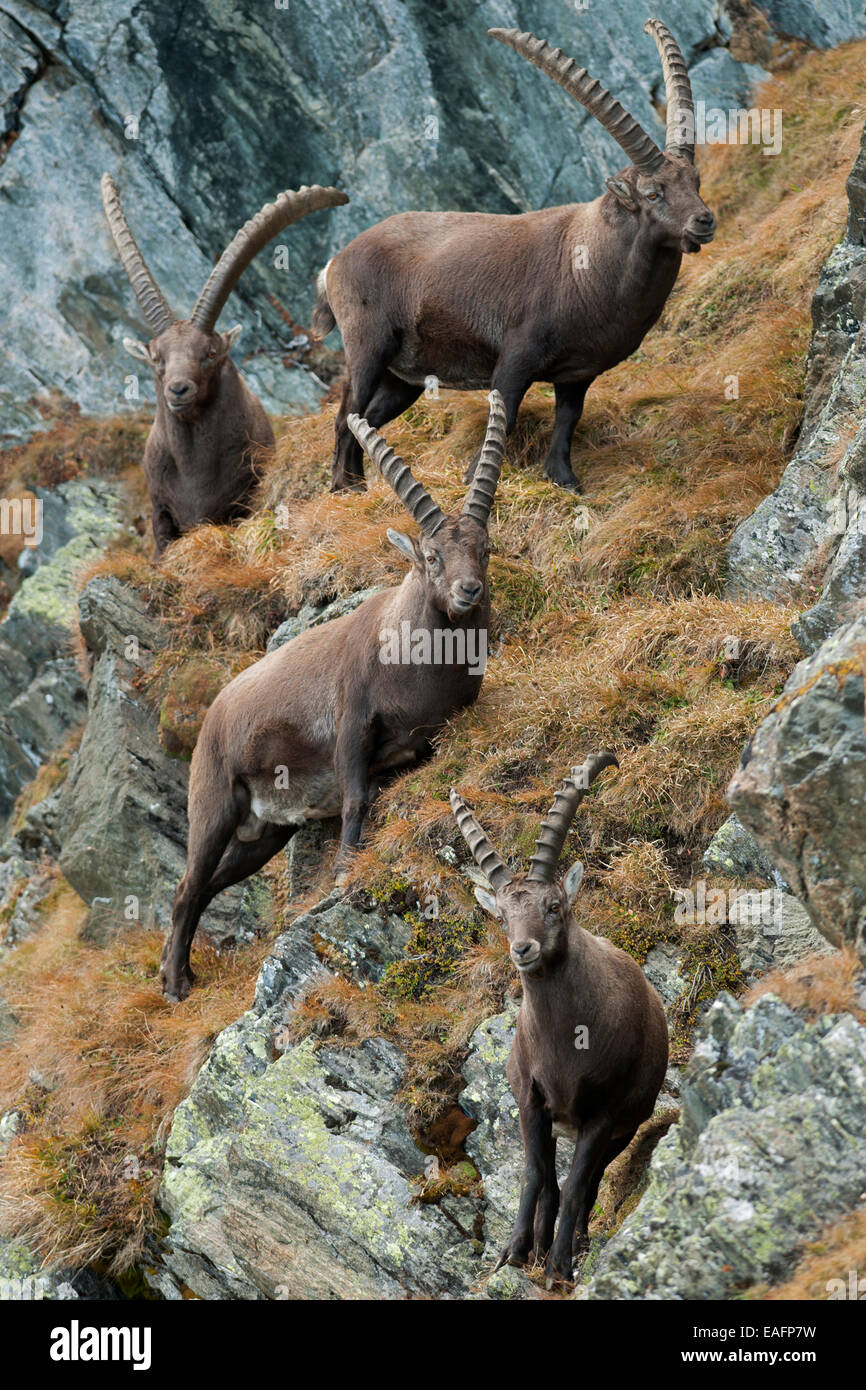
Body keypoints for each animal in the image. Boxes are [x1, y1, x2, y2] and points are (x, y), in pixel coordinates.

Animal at [101, 175, 347, 556]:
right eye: (156, 357)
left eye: (211, 352)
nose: (178, 389)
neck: (193, 474)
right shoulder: (160, 514)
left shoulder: (242, 502)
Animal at [160, 392, 506, 1001]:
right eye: (432, 557)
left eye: (483, 549)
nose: (470, 591)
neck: (415, 658)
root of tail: (213, 712)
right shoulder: (352, 724)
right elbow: (355, 799)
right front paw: (343, 876)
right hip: (214, 802)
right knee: (186, 887)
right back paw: (176, 983)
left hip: (266, 833)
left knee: (208, 886)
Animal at [314, 19, 714, 493]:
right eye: (653, 193)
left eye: (695, 180)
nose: (703, 221)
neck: (589, 262)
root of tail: (335, 263)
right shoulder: (516, 356)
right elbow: (502, 418)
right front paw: (474, 480)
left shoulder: (578, 373)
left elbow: (568, 420)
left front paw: (564, 480)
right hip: (368, 345)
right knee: (346, 415)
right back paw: (345, 489)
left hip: (404, 375)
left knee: (368, 420)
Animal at [450, 752, 668, 1287]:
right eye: (502, 916)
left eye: (553, 906)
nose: (522, 949)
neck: (568, 1039)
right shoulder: (531, 1098)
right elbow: (534, 1176)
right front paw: (514, 1251)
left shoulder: (603, 1114)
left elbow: (575, 1186)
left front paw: (558, 1268)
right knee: (549, 1180)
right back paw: (539, 1242)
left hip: (623, 1129)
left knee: (588, 1185)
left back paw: (574, 1243)